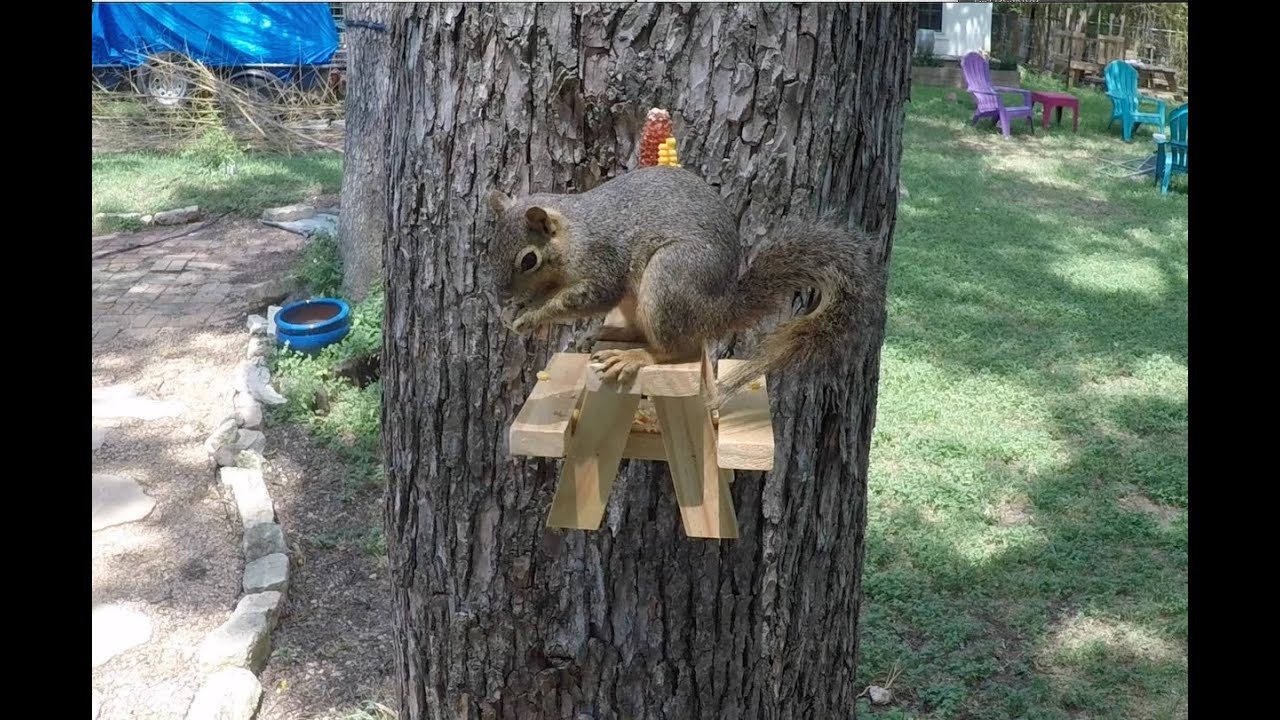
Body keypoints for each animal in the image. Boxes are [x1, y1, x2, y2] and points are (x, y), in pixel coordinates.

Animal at [484, 165, 880, 406]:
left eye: (528, 260)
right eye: (492, 247)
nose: (502, 296)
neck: (576, 233)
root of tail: (717, 310)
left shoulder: (602, 263)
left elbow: (585, 298)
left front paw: (530, 317)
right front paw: (513, 313)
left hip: (669, 277)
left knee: (674, 349)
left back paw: (635, 356)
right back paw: (616, 335)